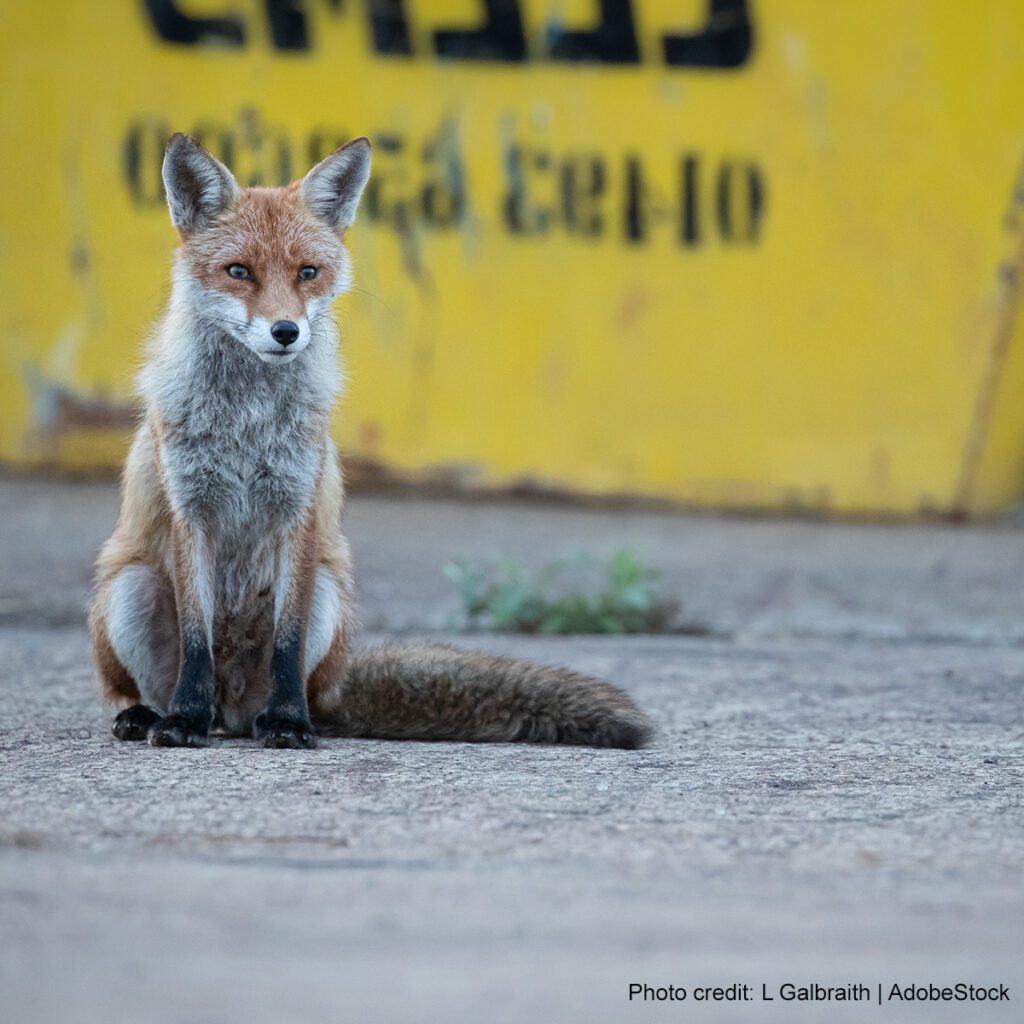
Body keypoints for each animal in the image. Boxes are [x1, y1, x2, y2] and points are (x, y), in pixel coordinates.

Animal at [86, 132, 653, 750]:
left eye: (308, 272)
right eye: (239, 271)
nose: (286, 331)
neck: (247, 422)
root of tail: (232, 712)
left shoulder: (300, 508)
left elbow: (286, 644)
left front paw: (288, 724)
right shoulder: (190, 509)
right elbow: (196, 640)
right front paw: (184, 720)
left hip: (330, 594)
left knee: (294, 686)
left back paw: (280, 716)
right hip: (130, 587)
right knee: (141, 686)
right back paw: (153, 715)